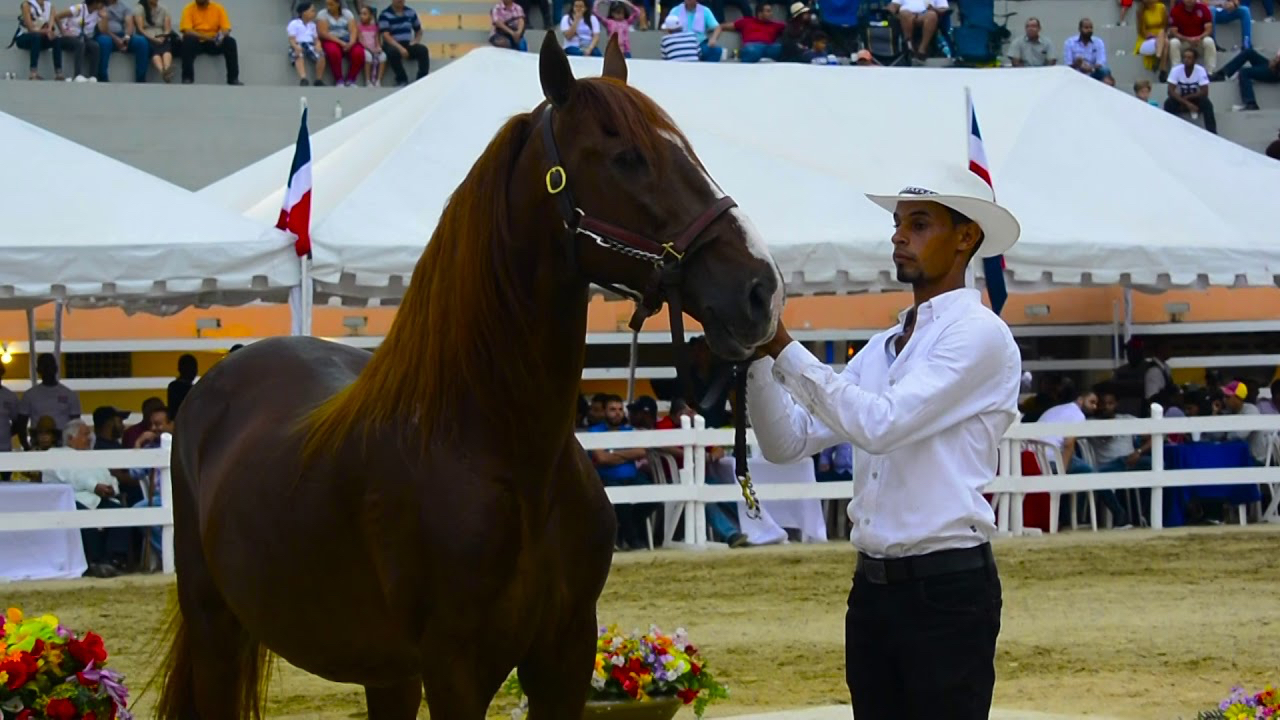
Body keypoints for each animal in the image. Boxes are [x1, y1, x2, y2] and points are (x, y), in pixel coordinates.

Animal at [156, 33, 783, 720]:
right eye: (627, 158)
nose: (760, 288)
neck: (501, 454)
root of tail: (232, 364)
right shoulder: (456, 668)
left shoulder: (564, 654)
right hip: (217, 630)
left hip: (387, 672)